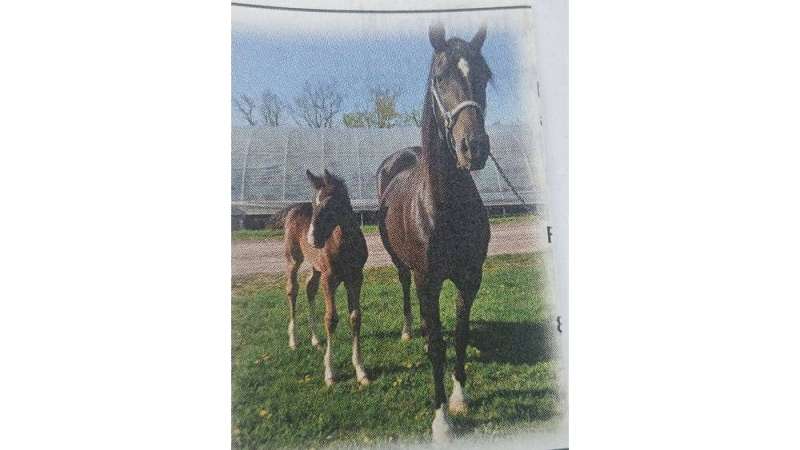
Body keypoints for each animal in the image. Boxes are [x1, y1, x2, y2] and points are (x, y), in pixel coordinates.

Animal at [279, 169, 369, 386]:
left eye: (330, 203)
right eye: (314, 203)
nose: (313, 239)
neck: (345, 243)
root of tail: (293, 208)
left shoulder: (356, 277)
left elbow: (355, 316)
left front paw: (360, 370)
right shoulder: (330, 279)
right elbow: (330, 319)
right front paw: (329, 372)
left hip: (316, 267)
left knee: (309, 288)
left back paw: (315, 340)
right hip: (293, 259)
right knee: (292, 290)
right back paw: (293, 340)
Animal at [376, 23, 492, 442]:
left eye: (485, 75)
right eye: (439, 78)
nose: (474, 147)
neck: (444, 207)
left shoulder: (469, 277)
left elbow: (457, 335)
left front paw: (459, 399)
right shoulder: (429, 279)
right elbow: (439, 347)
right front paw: (441, 420)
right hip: (402, 264)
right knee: (405, 287)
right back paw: (412, 331)